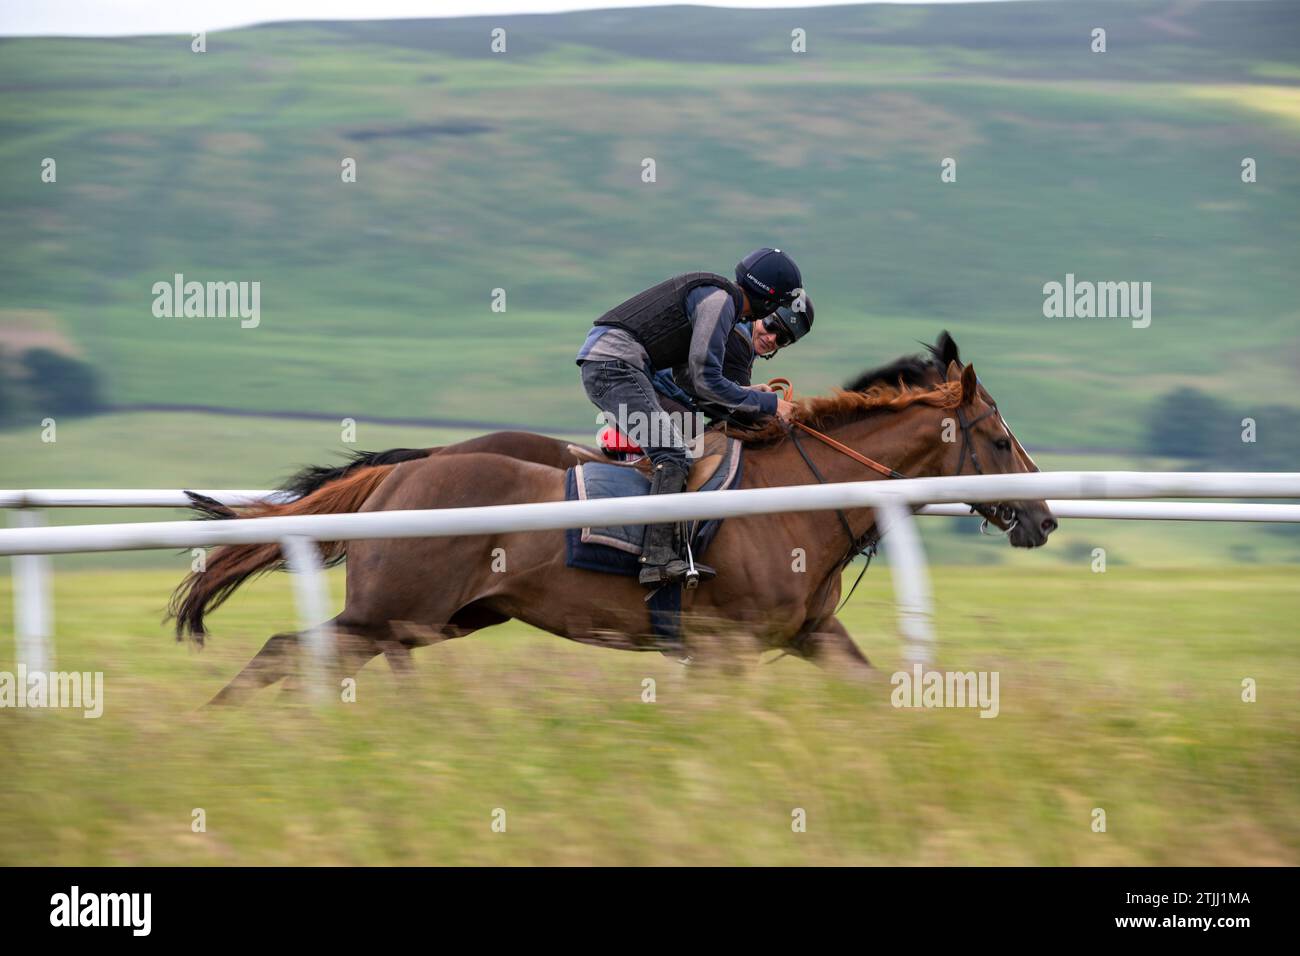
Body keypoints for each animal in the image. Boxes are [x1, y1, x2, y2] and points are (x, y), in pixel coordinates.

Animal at [169, 337, 1057, 704]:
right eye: (1000, 438)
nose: (1045, 520)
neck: (795, 500)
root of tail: (403, 471)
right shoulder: (723, 649)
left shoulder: (809, 636)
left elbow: (874, 689)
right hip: (390, 610)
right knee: (284, 650)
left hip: (438, 618)